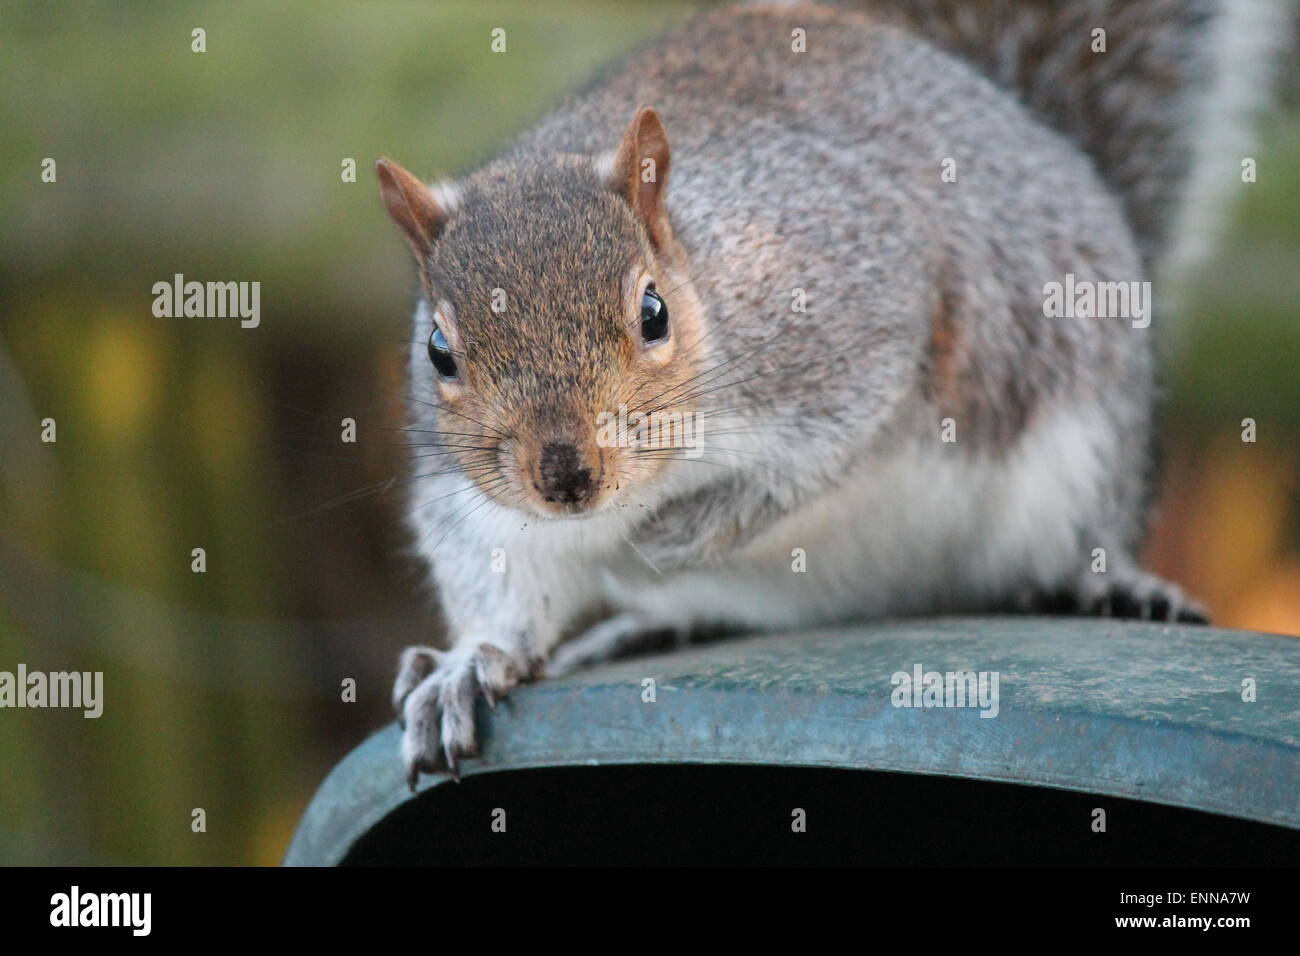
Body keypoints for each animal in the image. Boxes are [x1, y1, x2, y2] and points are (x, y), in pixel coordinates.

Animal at [374, 0, 1283, 785]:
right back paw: (649, 625)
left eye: (652, 312)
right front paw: (468, 667)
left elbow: (808, 460)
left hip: (1089, 434)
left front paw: (676, 536)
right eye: (440, 353)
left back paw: (1106, 583)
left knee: (1082, 528)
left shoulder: (852, 322)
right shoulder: (475, 500)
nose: (566, 477)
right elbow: (497, 581)